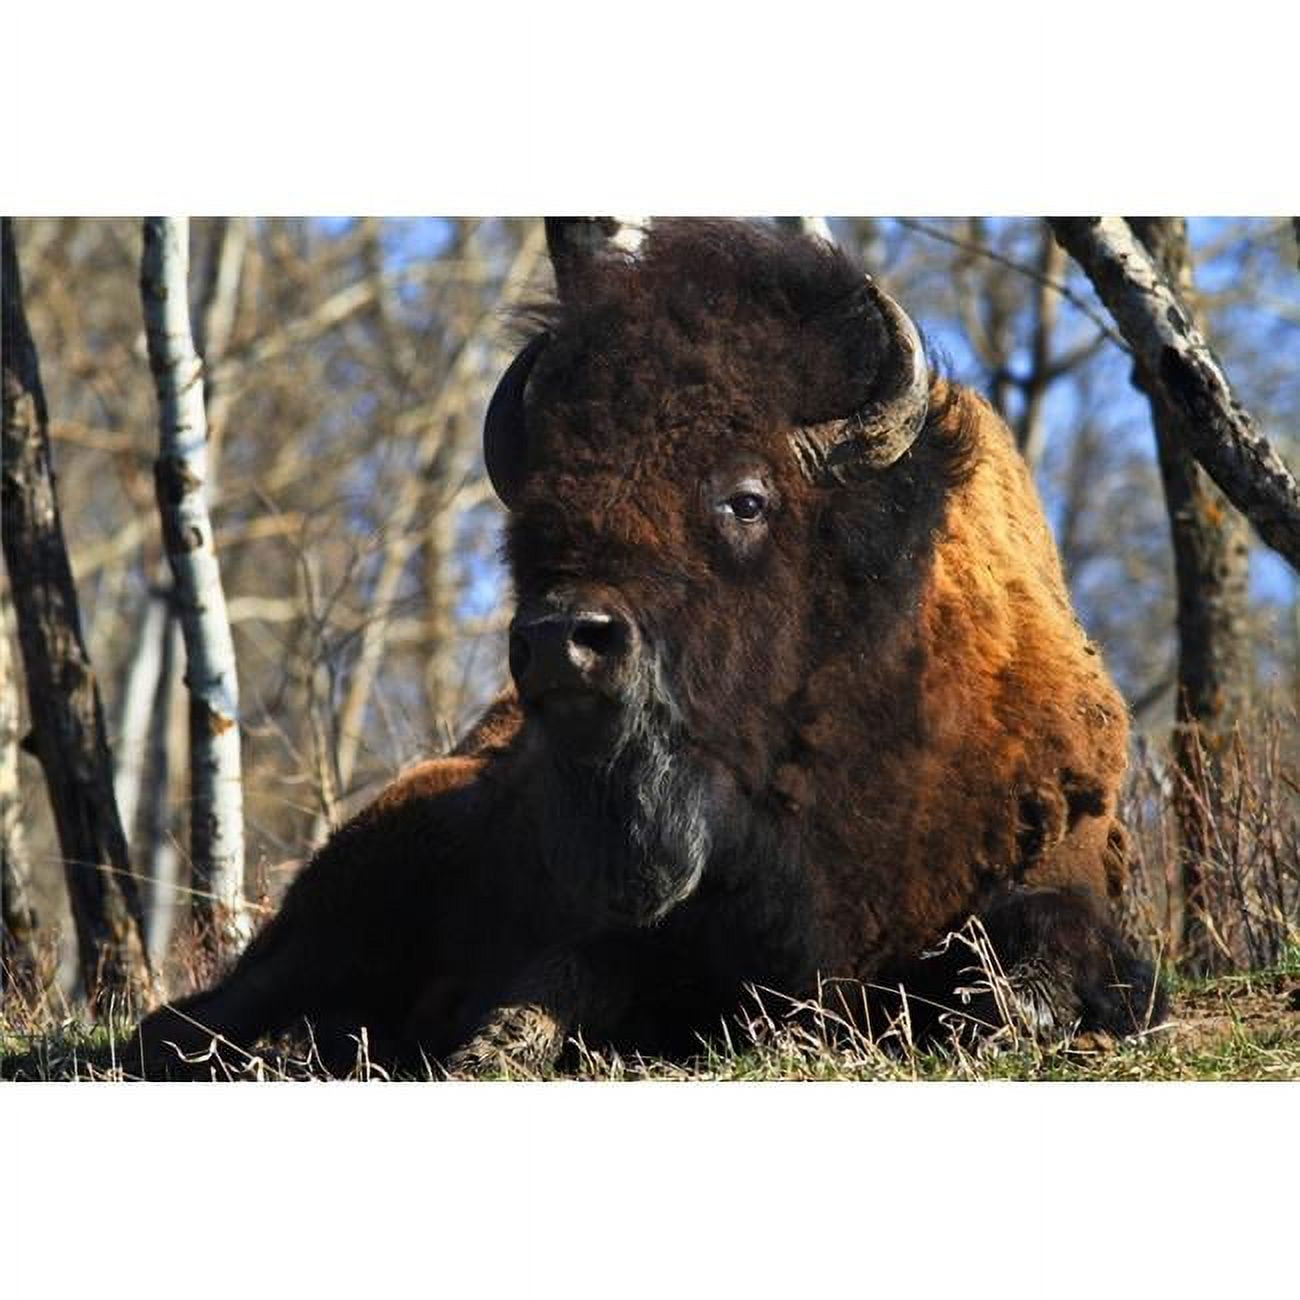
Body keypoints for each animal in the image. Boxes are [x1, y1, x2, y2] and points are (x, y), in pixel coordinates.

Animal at [131, 218, 1164, 1077]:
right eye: (534, 520)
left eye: (746, 497)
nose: (564, 641)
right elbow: (556, 983)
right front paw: (490, 1044)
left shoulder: (1064, 854)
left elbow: (1033, 958)